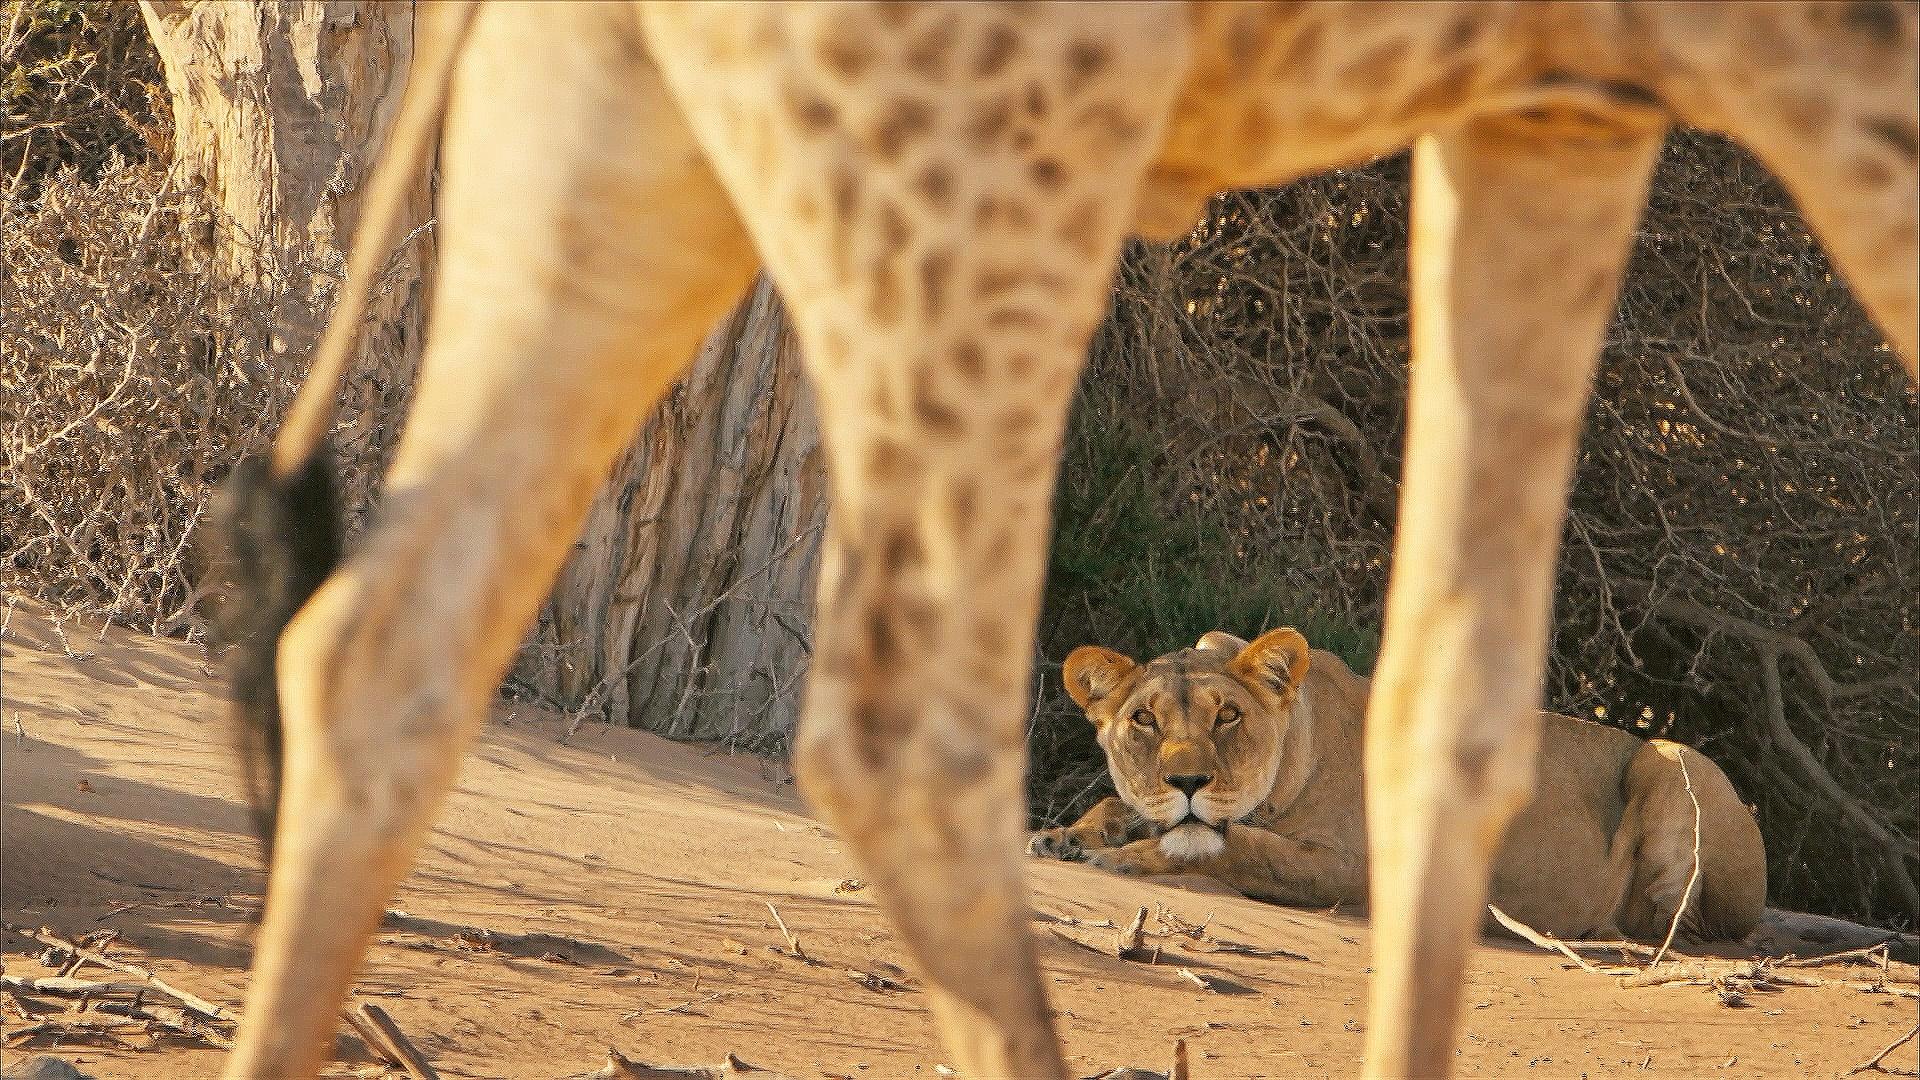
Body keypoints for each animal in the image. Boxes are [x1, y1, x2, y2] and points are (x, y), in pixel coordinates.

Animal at [1032, 628, 1768, 943]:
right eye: (1144, 720)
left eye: (1228, 716)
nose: (1186, 779)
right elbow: (1131, 811)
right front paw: (1066, 834)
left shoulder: (1356, 866)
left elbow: (1238, 847)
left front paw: (1118, 855)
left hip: (1669, 758)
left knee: (1677, 924)